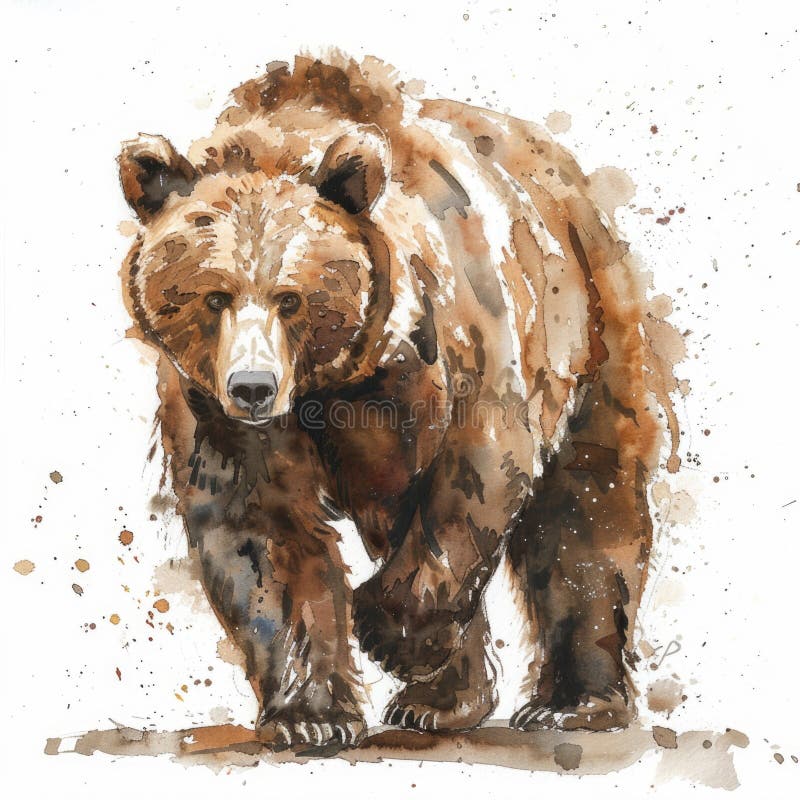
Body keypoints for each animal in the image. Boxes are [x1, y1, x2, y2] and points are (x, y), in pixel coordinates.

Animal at [118, 54, 680, 747]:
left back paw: (569, 702)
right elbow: (259, 530)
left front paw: (391, 635)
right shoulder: (216, 411)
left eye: (290, 297)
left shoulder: (454, 348)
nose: (252, 386)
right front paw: (311, 717)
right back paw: (444, 699)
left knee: (585, 506)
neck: (334, 378)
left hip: (588, 317)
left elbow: (477, 475)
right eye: (213, 295)